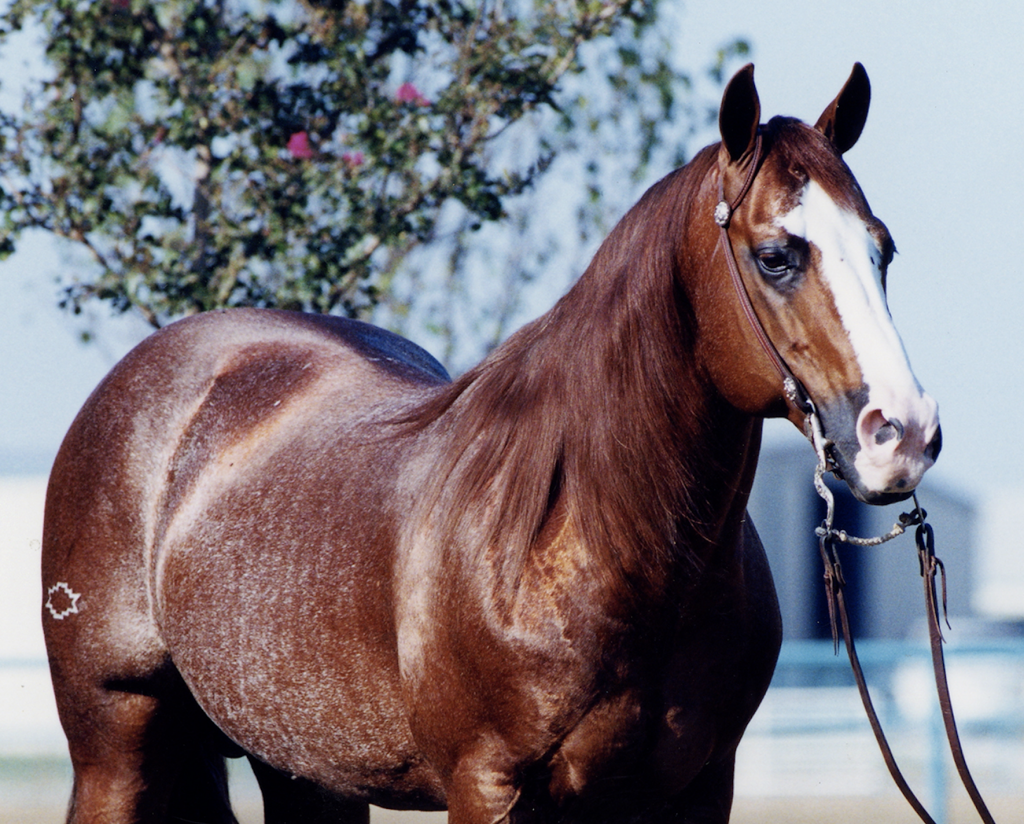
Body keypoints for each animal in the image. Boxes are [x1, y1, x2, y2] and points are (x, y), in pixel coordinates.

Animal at [42, 63, 940, 824]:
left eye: (883, 248)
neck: (590, 535)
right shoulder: (489, 786)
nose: (903, 434)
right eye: (777, 255)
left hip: (304, 772)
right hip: (115, 752)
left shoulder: (693, 791)